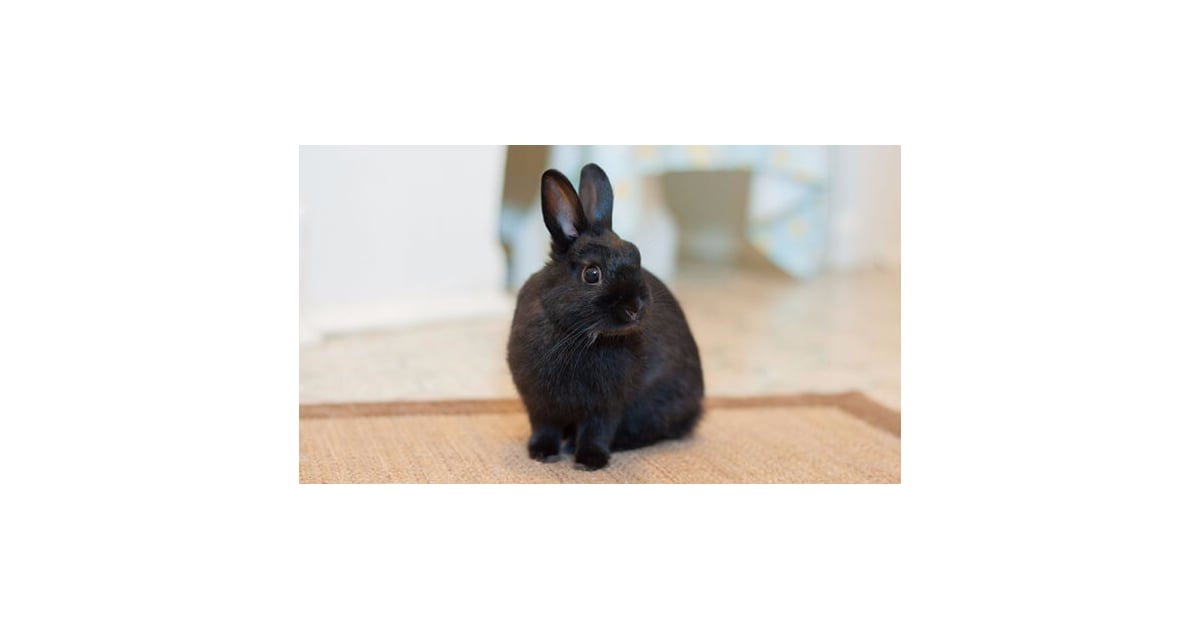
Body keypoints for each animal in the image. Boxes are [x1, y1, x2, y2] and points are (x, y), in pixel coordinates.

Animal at [506, 163, 705, 470]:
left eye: (636, 256)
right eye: (592, 274)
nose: (635, 308)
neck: (579, 336)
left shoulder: (607, 404)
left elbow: (597, 429)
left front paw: (590, 460)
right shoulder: (539, 400)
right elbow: (544, 426)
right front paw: (541, 453)